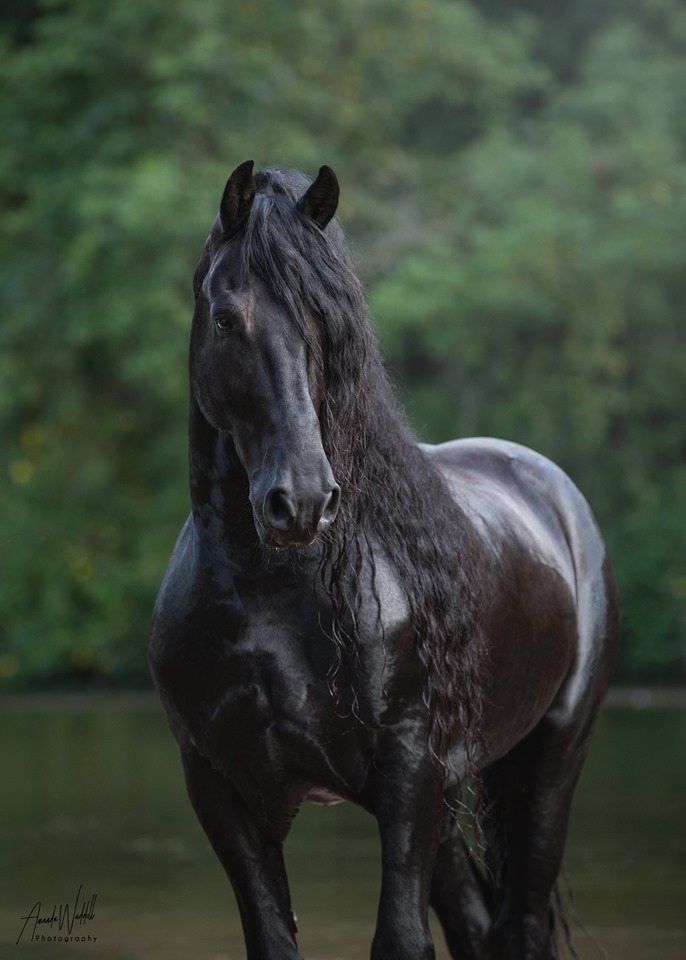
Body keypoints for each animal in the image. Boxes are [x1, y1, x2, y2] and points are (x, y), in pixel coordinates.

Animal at [149, 160, 620, 960]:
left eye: (325, 324)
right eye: (225, 319)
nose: (303, 501)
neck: (267, 597)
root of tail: (551, 490)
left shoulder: (407, 774)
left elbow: (400, 939)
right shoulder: (219, 789)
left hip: (547, 764)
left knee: (521, 921)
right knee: (477, 923)